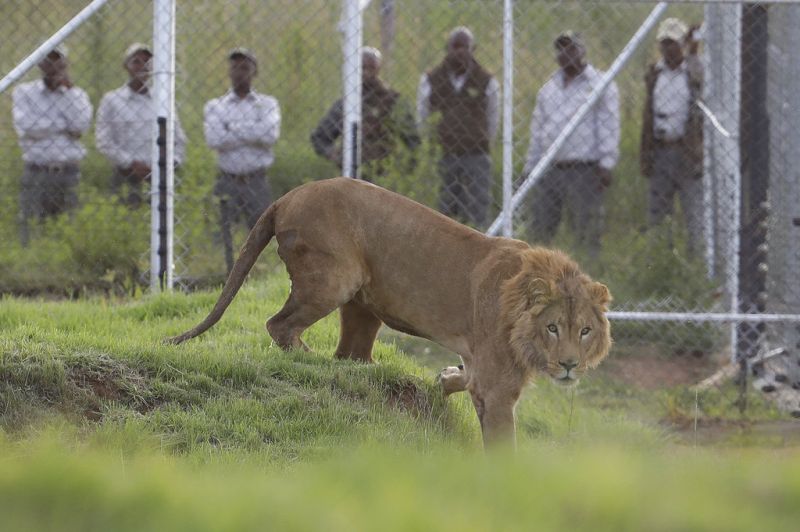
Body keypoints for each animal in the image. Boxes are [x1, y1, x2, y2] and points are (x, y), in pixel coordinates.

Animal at [167, 177, 612, 447]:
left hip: (364, 304)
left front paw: (443, 378)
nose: (569, 365)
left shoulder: (478, 362)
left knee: (350, 354)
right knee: (280, 326)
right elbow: (503, 442)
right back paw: (314, 363)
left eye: (585, 331)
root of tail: (287, 196)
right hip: (334, 280)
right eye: (553, 328)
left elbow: (459, 376)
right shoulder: (498, 387)